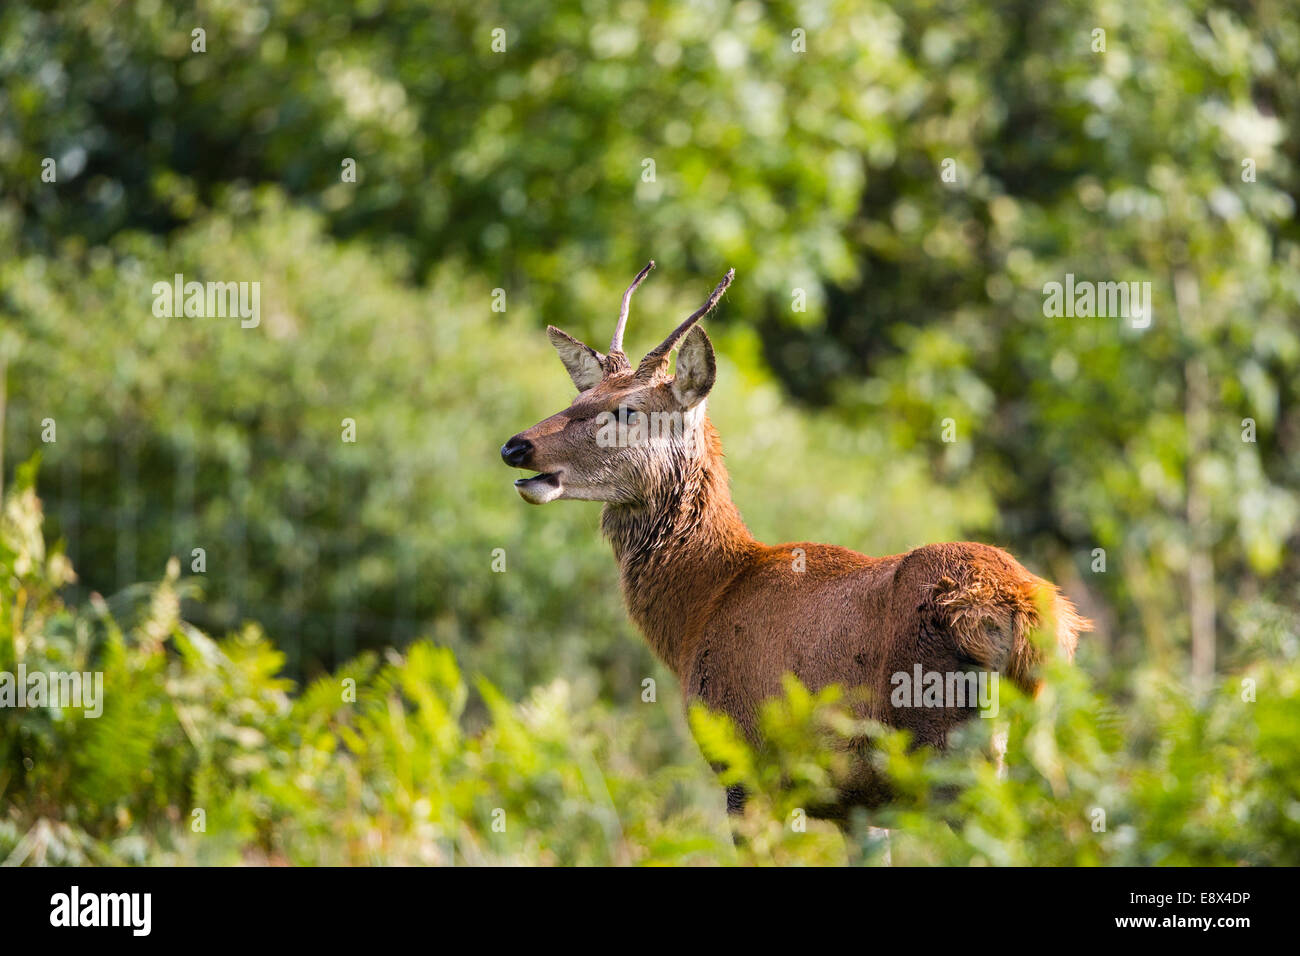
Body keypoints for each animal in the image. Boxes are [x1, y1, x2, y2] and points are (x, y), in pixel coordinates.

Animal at [501, 262, 1091, 821]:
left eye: (627, 410)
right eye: (580, 395)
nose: (515, 446)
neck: (704, 605)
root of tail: (1028, 613)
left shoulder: (746, 763)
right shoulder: (857, 803)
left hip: (942, 742)